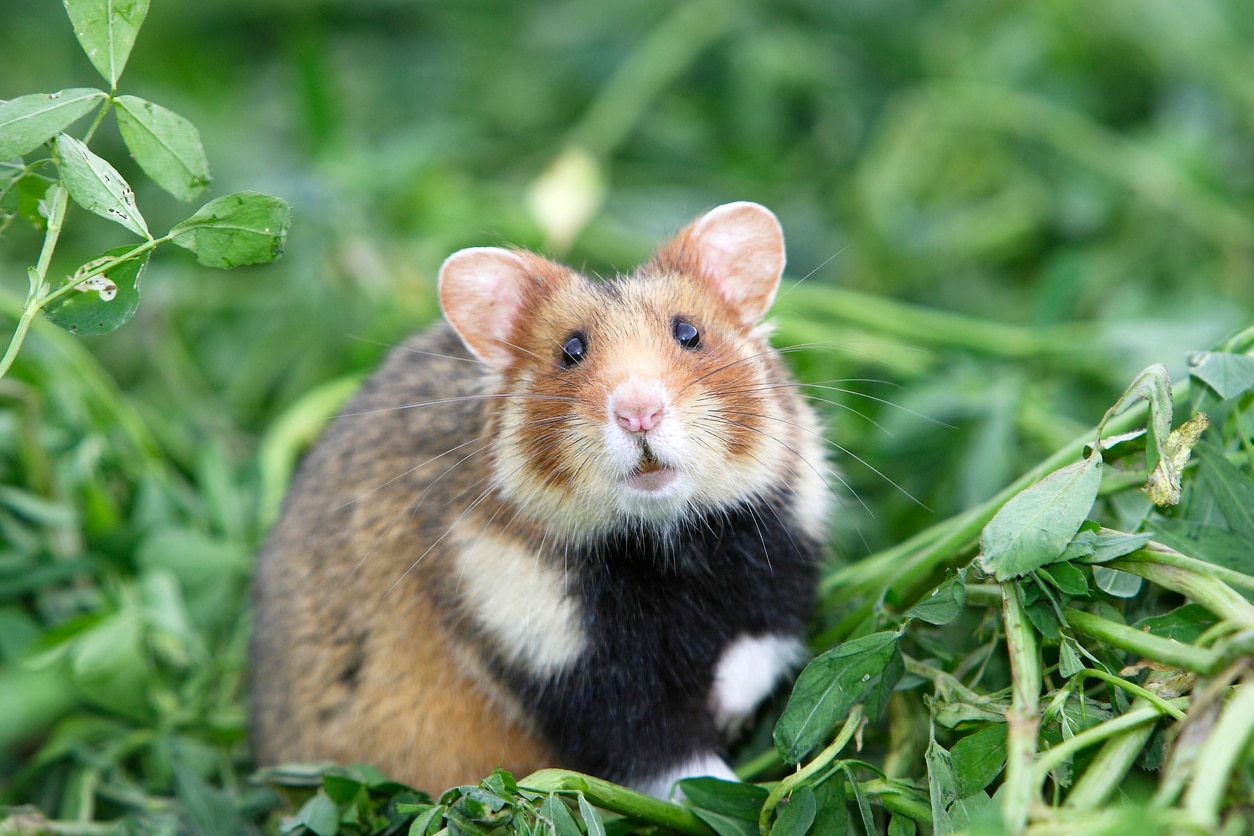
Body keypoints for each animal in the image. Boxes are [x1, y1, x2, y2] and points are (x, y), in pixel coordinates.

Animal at [249, 201, 830, 798]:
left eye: (689, 332)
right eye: (571, 351)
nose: (638, 414)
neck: (661, 539)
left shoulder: (784, 558)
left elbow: (763, 645)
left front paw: (727, 711)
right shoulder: (562, 657)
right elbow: (672, 761)